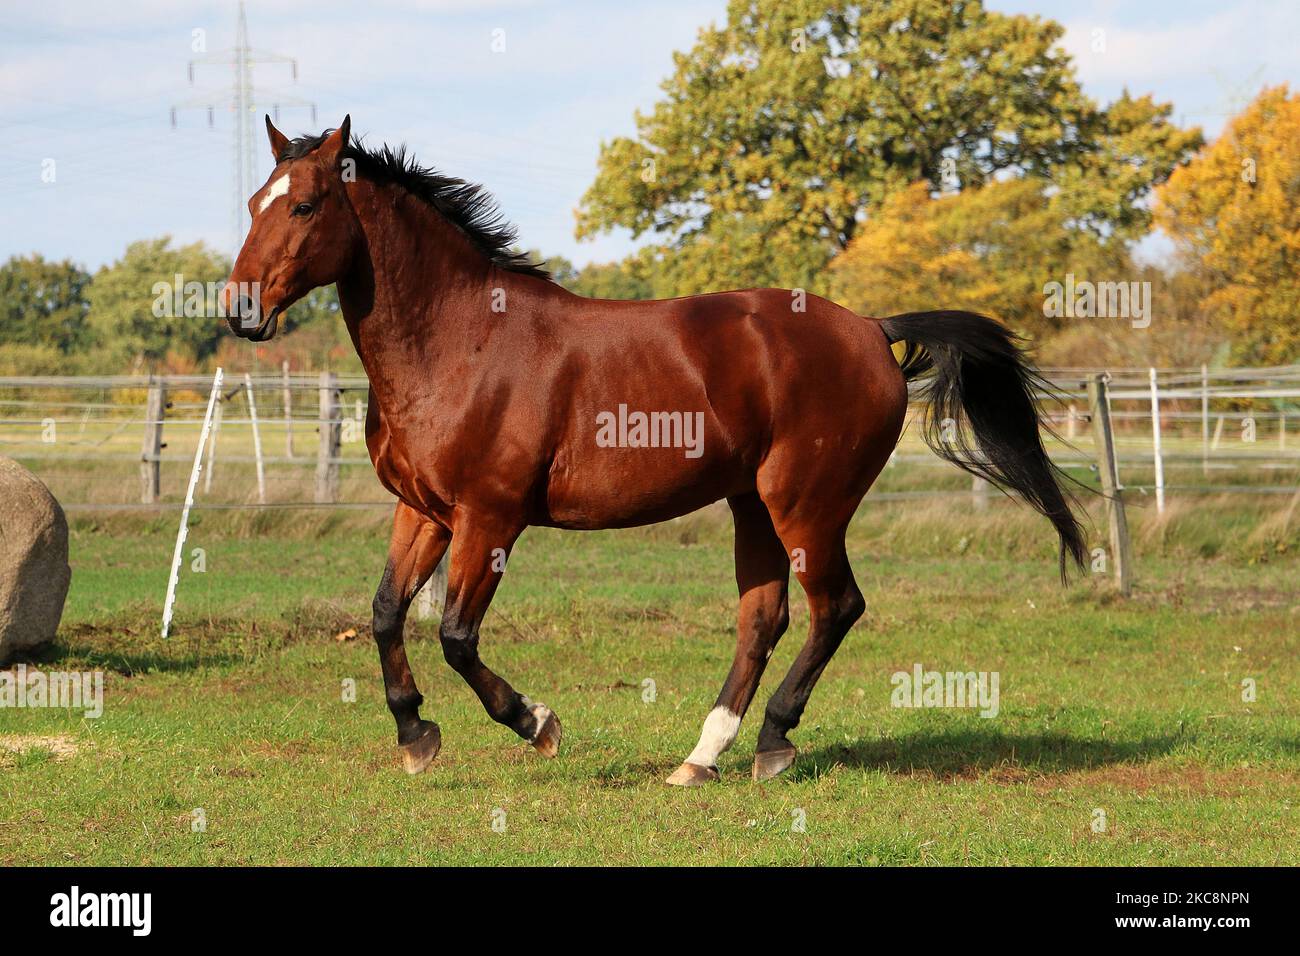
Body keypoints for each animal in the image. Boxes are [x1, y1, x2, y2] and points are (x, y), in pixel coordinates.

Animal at [222, 116, 1085, 786]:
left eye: (304, 204)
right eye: (253, 203)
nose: (239, 311)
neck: (461, 343)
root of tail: (874, 330)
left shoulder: (490, 519)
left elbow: (457, 637)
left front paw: (537, 723)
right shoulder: (426, 513)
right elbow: (384, 615)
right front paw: (416, 736)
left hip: (807, 505)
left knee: (834, 608)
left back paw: (773, 742)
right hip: (752, 505)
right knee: (762, 619)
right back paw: (702, 756)